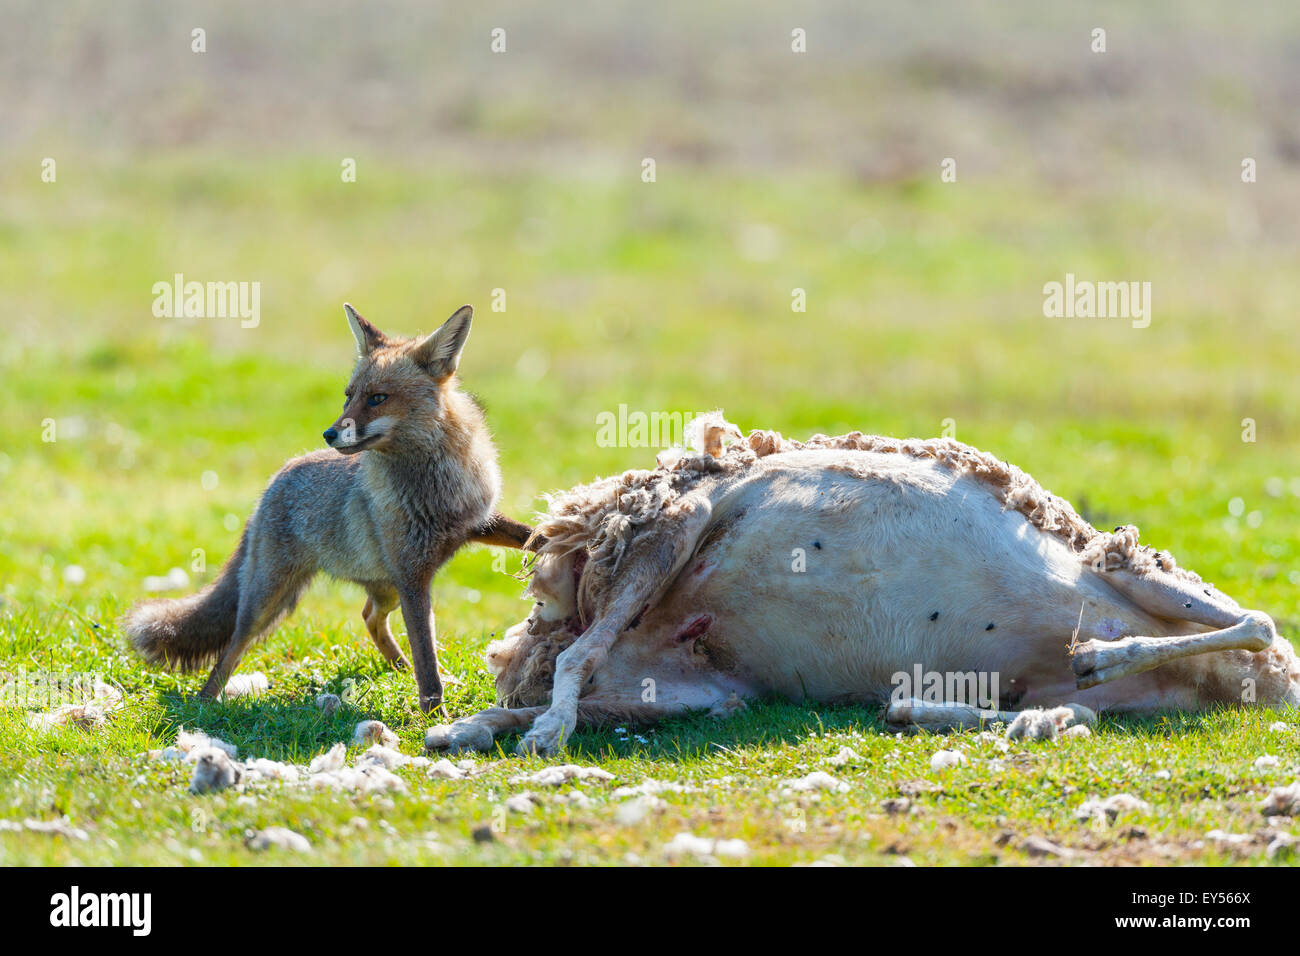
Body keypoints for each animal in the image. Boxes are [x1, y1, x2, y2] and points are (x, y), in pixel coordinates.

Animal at [122, 302, 538, 714]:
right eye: (348, 396)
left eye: (377, 398)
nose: (329, 433)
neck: (434, 485)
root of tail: (278, 477)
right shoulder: (412, 576)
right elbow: (427, 661)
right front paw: (435, 715)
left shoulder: (473, 524)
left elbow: (524, 534)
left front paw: (551, 536)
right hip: (269, 599)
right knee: (231, 648)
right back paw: (205, 703)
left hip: (384, 588)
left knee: (369, 616)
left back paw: (398, 667)